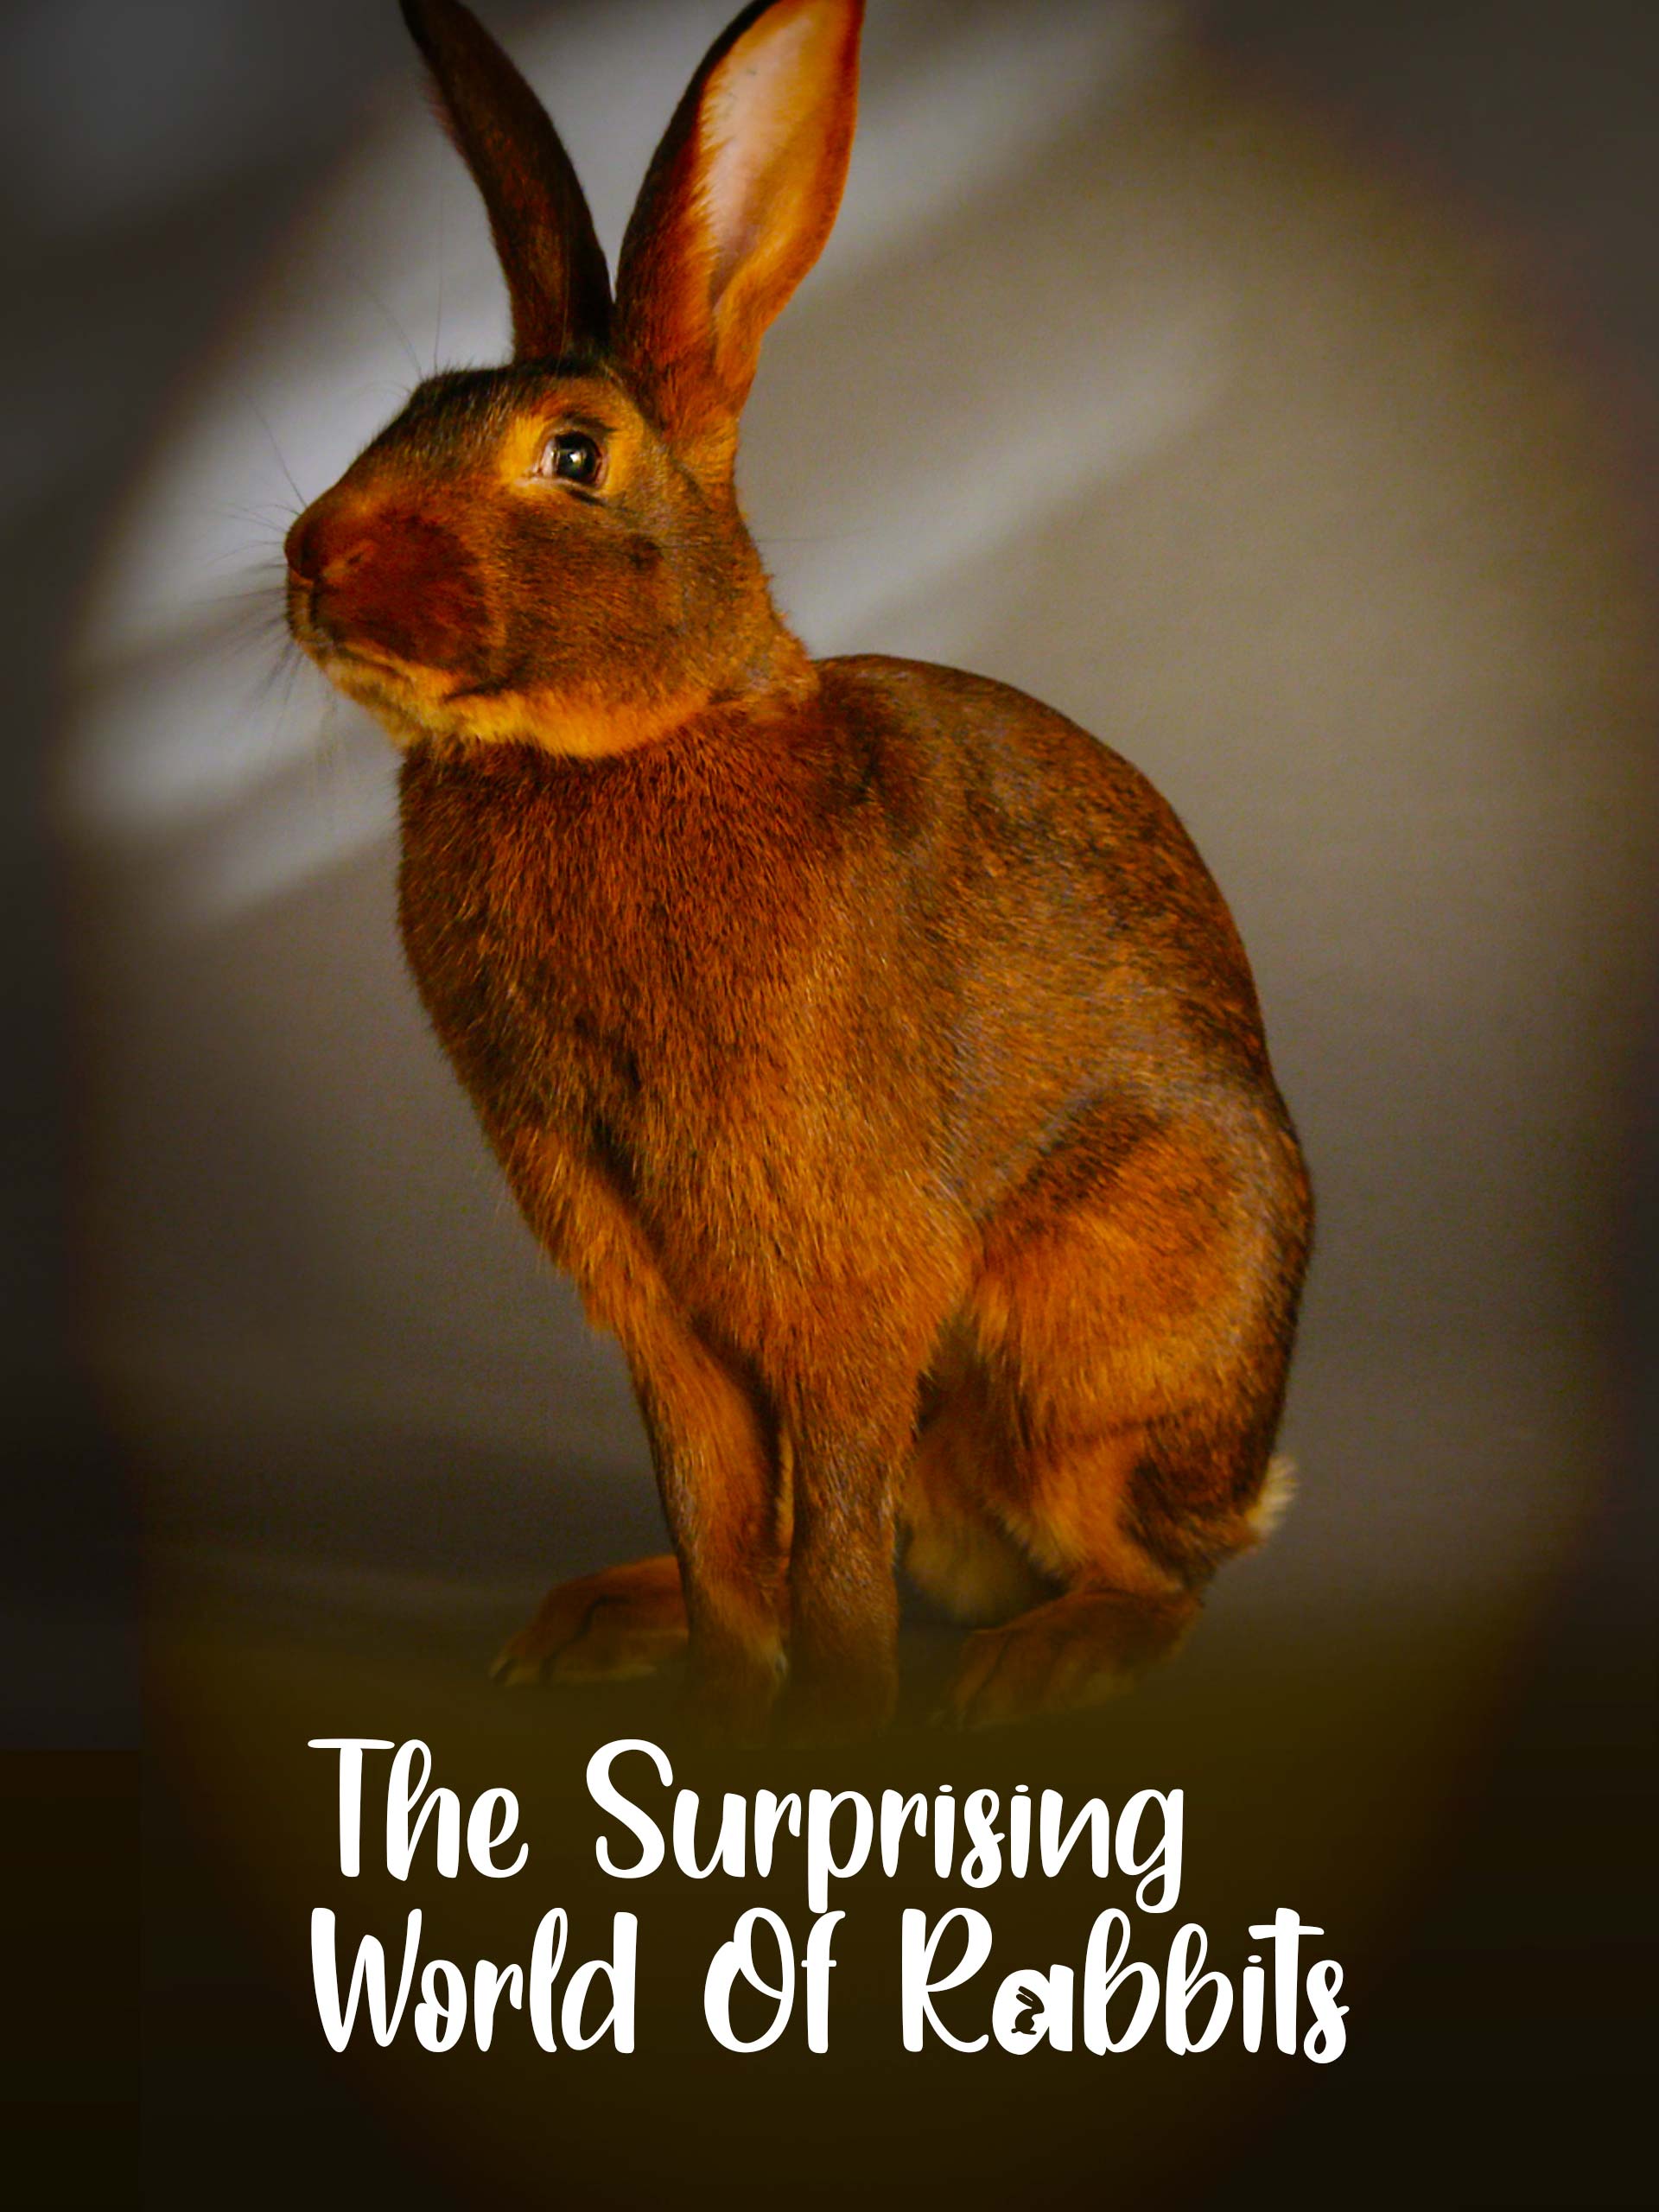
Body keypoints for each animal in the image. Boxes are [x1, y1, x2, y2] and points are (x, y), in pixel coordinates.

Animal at [283, 0, 1312, 1740]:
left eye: (574, 456)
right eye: (404, 413)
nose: (313, 556)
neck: (629, 742)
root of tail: (1244, 1481)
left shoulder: (832, 1270)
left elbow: (823, 1525)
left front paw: (828, 1729)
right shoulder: (648, 1294)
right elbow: (711, 1507)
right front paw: (715, 1700)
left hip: (1086, 1360)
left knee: (1143, 1574)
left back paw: (1038, 1664)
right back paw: (593, 1619)